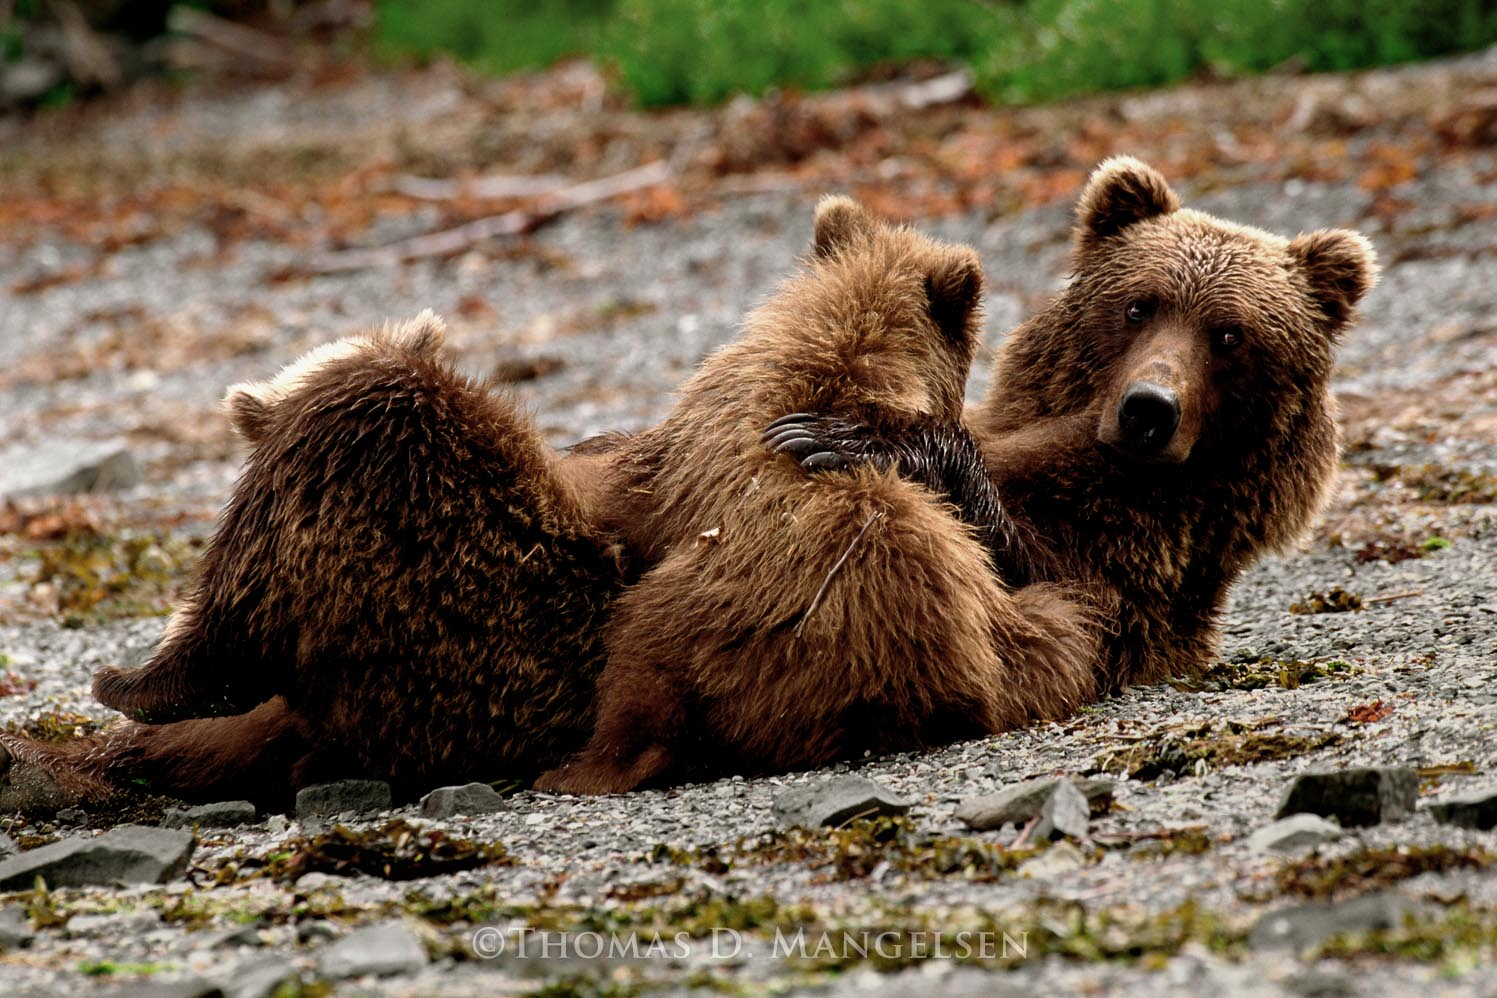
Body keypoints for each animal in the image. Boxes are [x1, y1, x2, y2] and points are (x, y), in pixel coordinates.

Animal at [767, 156, 1378, 694]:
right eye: (1138, 306)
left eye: (1231, 335)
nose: (1149, 409)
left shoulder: (1140, 554)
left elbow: (1049, 583)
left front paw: (846, 438)